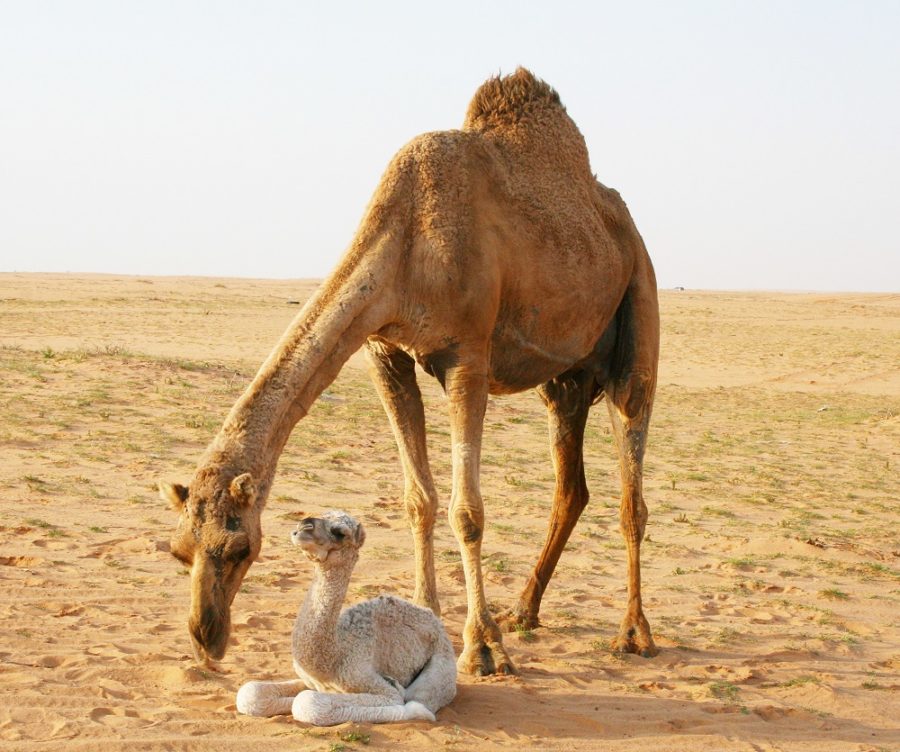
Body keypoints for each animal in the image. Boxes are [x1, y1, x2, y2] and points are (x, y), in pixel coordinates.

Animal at [160, 67, 660, 676]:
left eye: (239, 548)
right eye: (179, 551)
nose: (206, 639)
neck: (406, 237)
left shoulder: (468, 355)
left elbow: (467, 510)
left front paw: (484, 648)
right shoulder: (385, 351)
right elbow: (417, 499)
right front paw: (428, 618)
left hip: (638, 299)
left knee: (630, 482)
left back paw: (633, 633)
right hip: (564, 377)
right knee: (571, 487)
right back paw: (525, 610)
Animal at [235, 511, 456, 725]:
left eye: (340, 532)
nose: (303, 526)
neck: (334, 655)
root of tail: (439, 625)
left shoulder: (368, 680)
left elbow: (308, 702)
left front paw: (413, 707)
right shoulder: (309, 680)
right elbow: (250, 692)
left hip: (441, 670)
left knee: (420, 695)